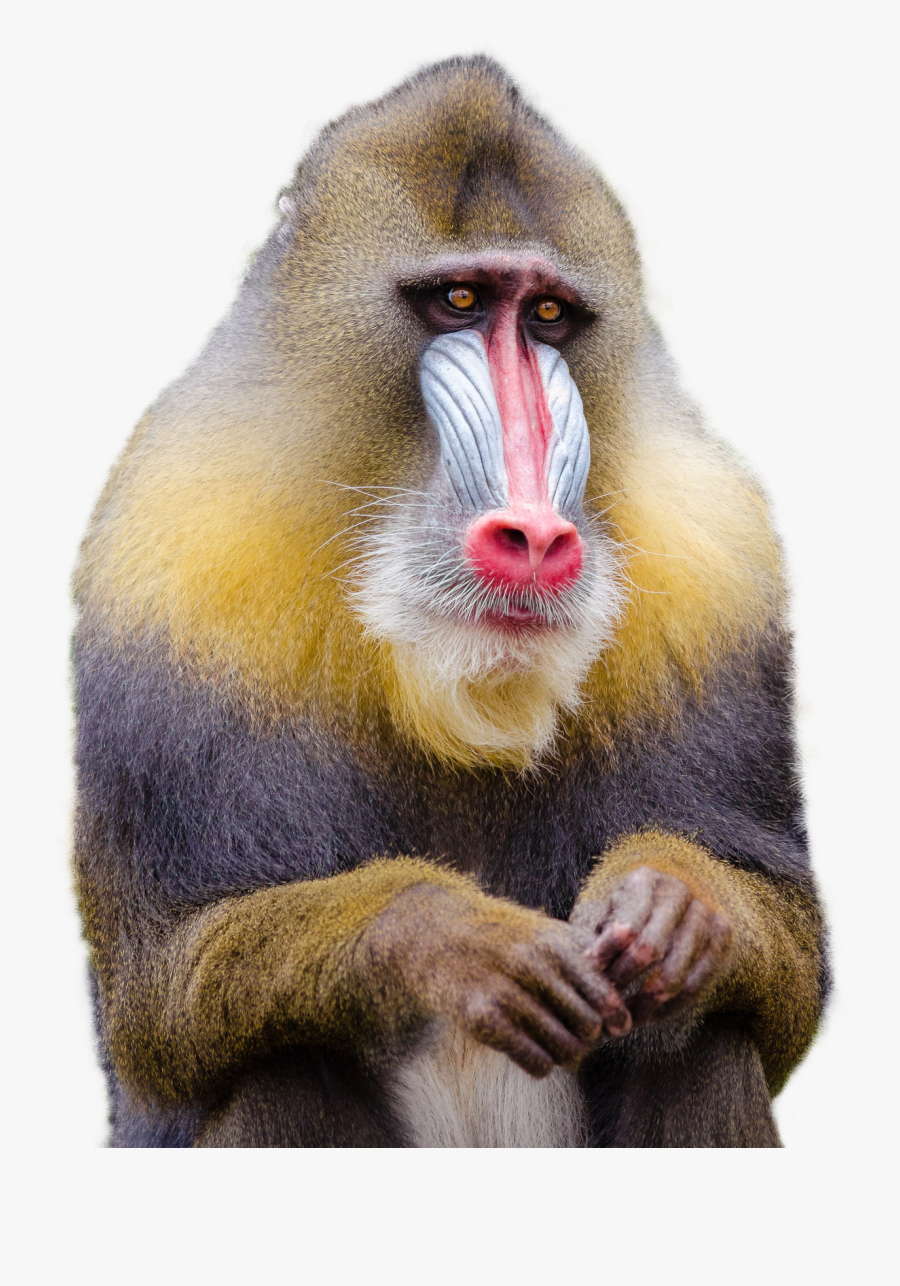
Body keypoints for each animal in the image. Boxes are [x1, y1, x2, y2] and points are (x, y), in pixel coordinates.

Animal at [73, 55, 827, 1148]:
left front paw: (675, 904)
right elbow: (162, 997)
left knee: (703, 1038)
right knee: (276, 1063)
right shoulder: (170, 572)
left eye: (548, 318)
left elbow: (788, 976)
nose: (536, 537)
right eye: (460, 299)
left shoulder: (721, 569)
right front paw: (453, 937)